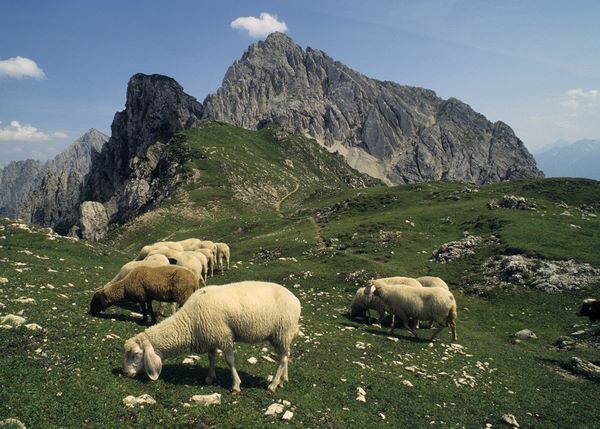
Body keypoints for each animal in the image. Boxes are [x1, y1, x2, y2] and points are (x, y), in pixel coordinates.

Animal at [122, 280, 300, 392]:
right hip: (280, 335)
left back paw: (273, 384)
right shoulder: (211, 336)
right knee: (285, 356)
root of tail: (296, 300)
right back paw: (283, 380)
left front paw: (236, 385)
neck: (190, 321)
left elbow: (229, 361)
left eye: (136, 355)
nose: (125, 373)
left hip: (283, 332)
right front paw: (210, 377)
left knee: (282, 359)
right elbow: (211, 357)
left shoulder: (224, 336)